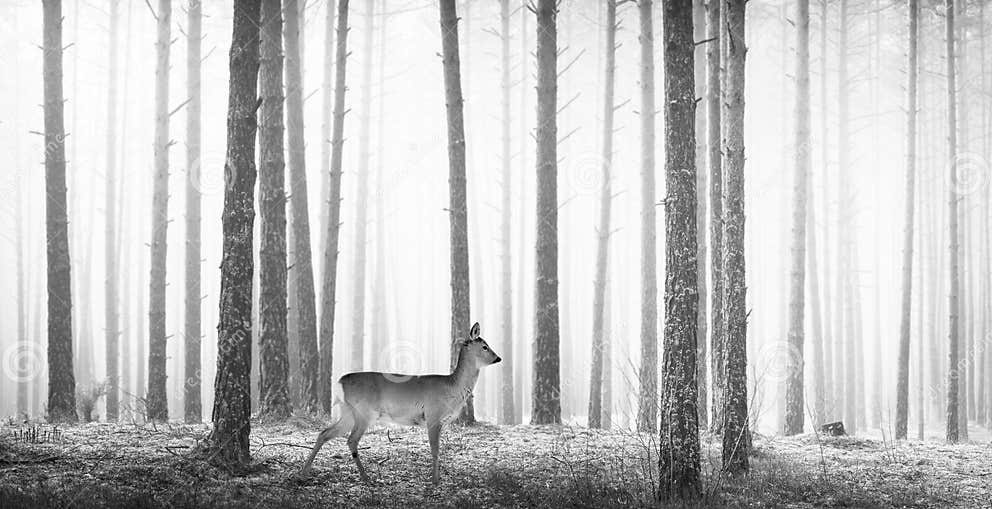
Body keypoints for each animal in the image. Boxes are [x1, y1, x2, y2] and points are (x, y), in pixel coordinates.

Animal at [298, 322, 501, 485]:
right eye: (485, 346)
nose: (498, 358)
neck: (452, 387)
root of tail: (340, 382)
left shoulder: (441, 422)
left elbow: (437, 449)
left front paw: (437, 478)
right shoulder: (433, 416)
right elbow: (435, 450)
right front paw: (435, 480)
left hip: (348, 412)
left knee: (325, 433)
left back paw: (304, 473)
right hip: (364, 412)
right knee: (351, 440)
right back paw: (366, 477)